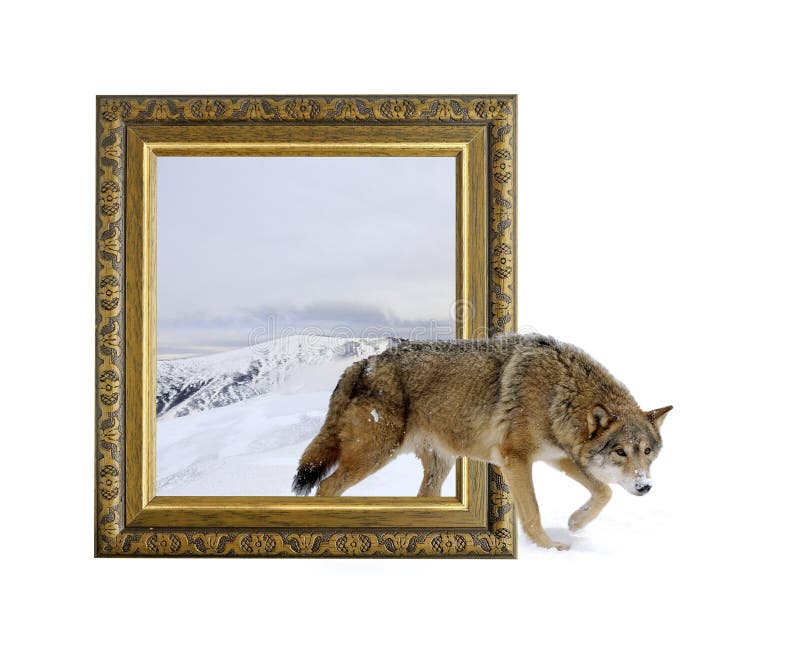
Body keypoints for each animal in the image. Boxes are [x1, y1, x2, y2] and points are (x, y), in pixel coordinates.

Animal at [292, 334, 672, 550]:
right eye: (620, 451)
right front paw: (549, 548)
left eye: (647, 452)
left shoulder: (559, 456)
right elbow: (533, 513)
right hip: (375, 455)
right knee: (326, 486)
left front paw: (576, 523)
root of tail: (361, 363)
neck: (560, 393)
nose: (645, 486)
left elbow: (604, 492)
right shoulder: (515, 459)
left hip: (438, 466)